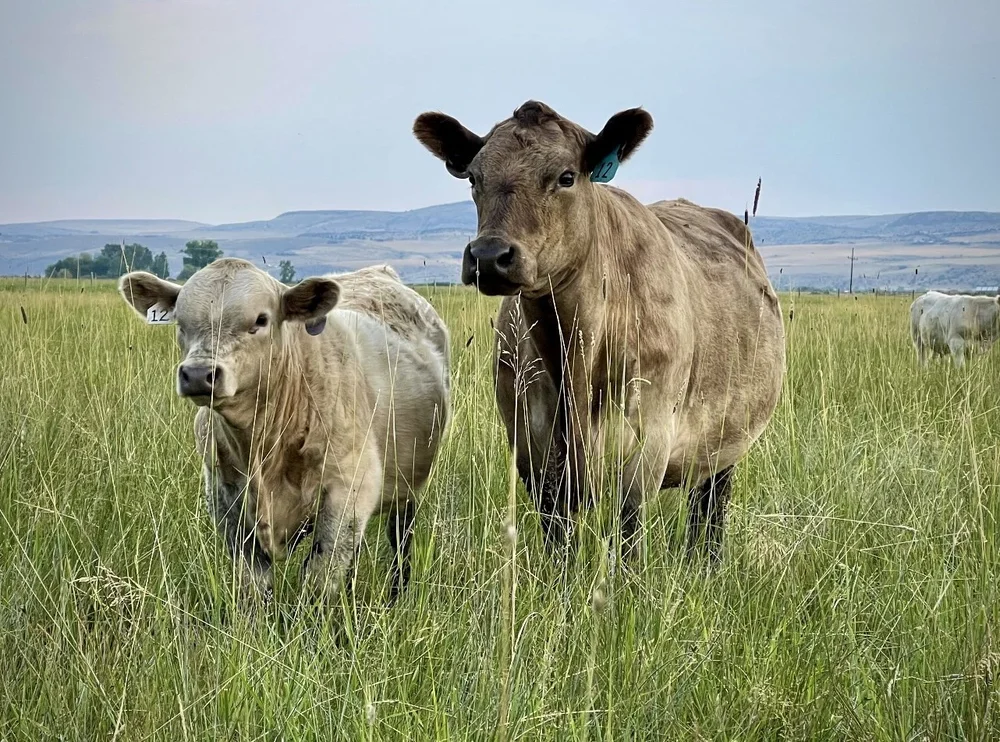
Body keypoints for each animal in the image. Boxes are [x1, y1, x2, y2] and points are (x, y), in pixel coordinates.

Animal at [119, 258, 451, 603]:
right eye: (181, 323)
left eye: (260, 320)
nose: (198, 374)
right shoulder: (226, 500)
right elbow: (253, 584)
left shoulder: (348, 491)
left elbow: (319, 579)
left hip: (406, 488)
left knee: (399, 539)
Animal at [413, 100, 786, 564]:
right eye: (473, 178)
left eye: (566, 176)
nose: (489, 256)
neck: (573, 349)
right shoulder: (531, 448)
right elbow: (558, 539)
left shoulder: (648, 441)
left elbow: (628, 537)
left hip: (726, 440)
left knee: (710, 508)